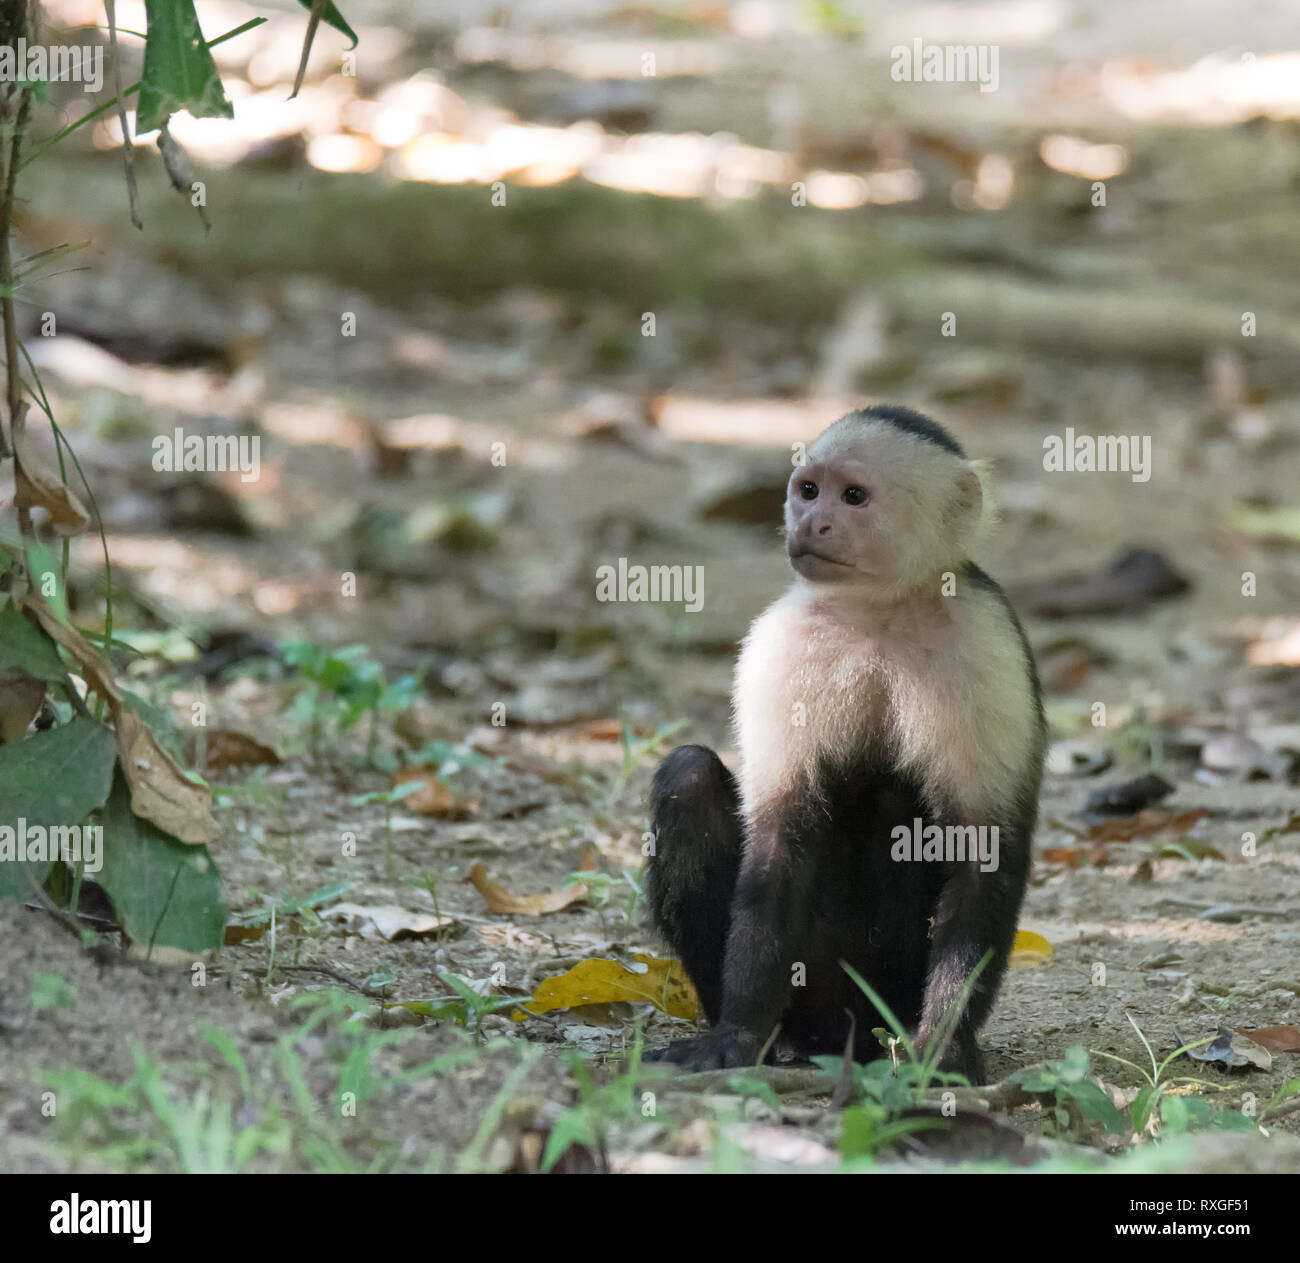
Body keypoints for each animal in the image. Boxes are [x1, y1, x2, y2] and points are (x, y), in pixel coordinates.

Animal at [644, 405, 1044, 1082]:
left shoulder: (985, 636)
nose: (813, 522)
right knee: (690, 778)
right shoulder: (778, 642)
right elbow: (779, 837)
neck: (879, 611)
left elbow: (980, 845)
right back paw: (783, 1041)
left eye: (853, 496)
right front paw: (738, 1033)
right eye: (808, 490)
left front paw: (943, 1048)